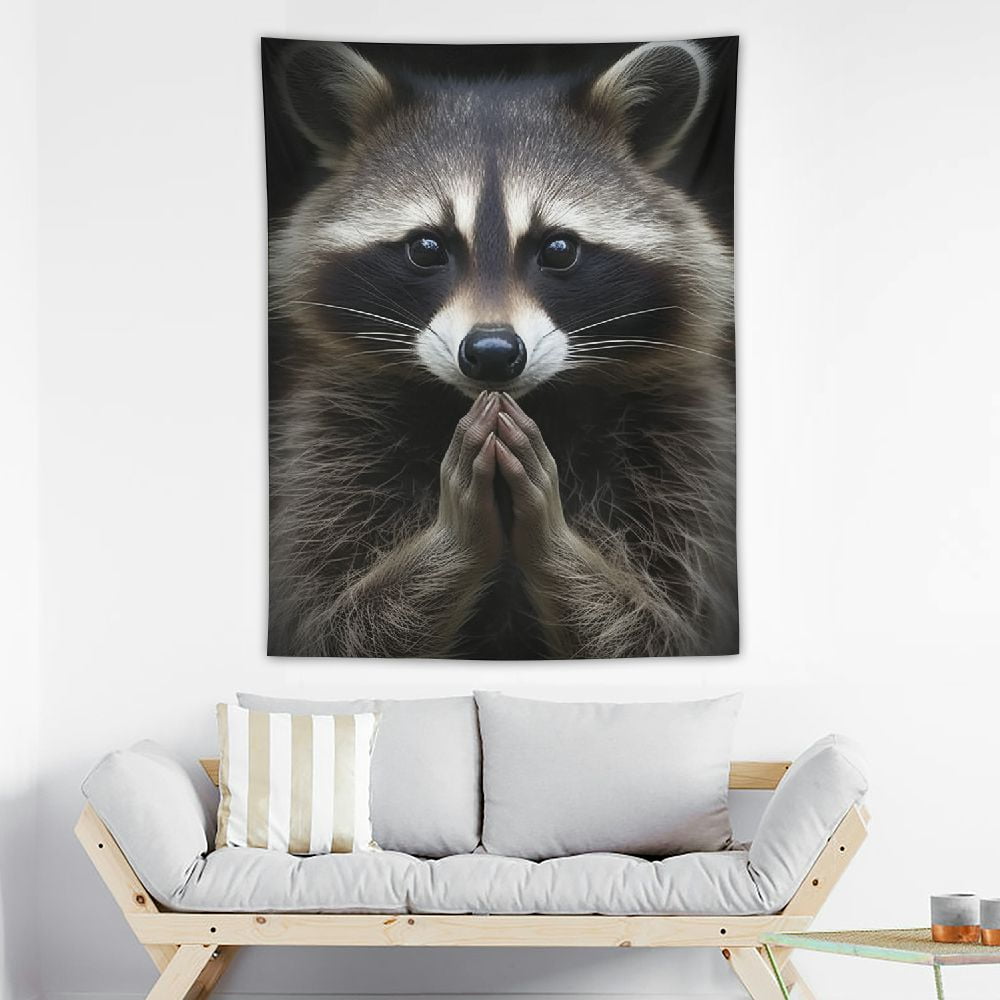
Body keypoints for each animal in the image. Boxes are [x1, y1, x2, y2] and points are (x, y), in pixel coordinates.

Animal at [267, 40, 736, 659]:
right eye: (426, 248)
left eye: (559, 249)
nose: (492, 352)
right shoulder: (332, 438)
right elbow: (331, 627)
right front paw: (457, 533)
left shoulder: (681, 444)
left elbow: (665, 629)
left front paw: (549, 535)